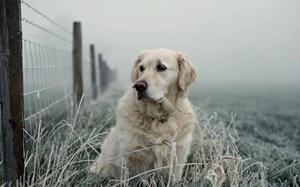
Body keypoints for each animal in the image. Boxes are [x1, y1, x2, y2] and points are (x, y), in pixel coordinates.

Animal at [90, 47, 198, 181]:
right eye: (141, 68)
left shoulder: (178, 154)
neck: (158, 117)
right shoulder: (127, 157)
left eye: (161, 67)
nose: (138, 86)